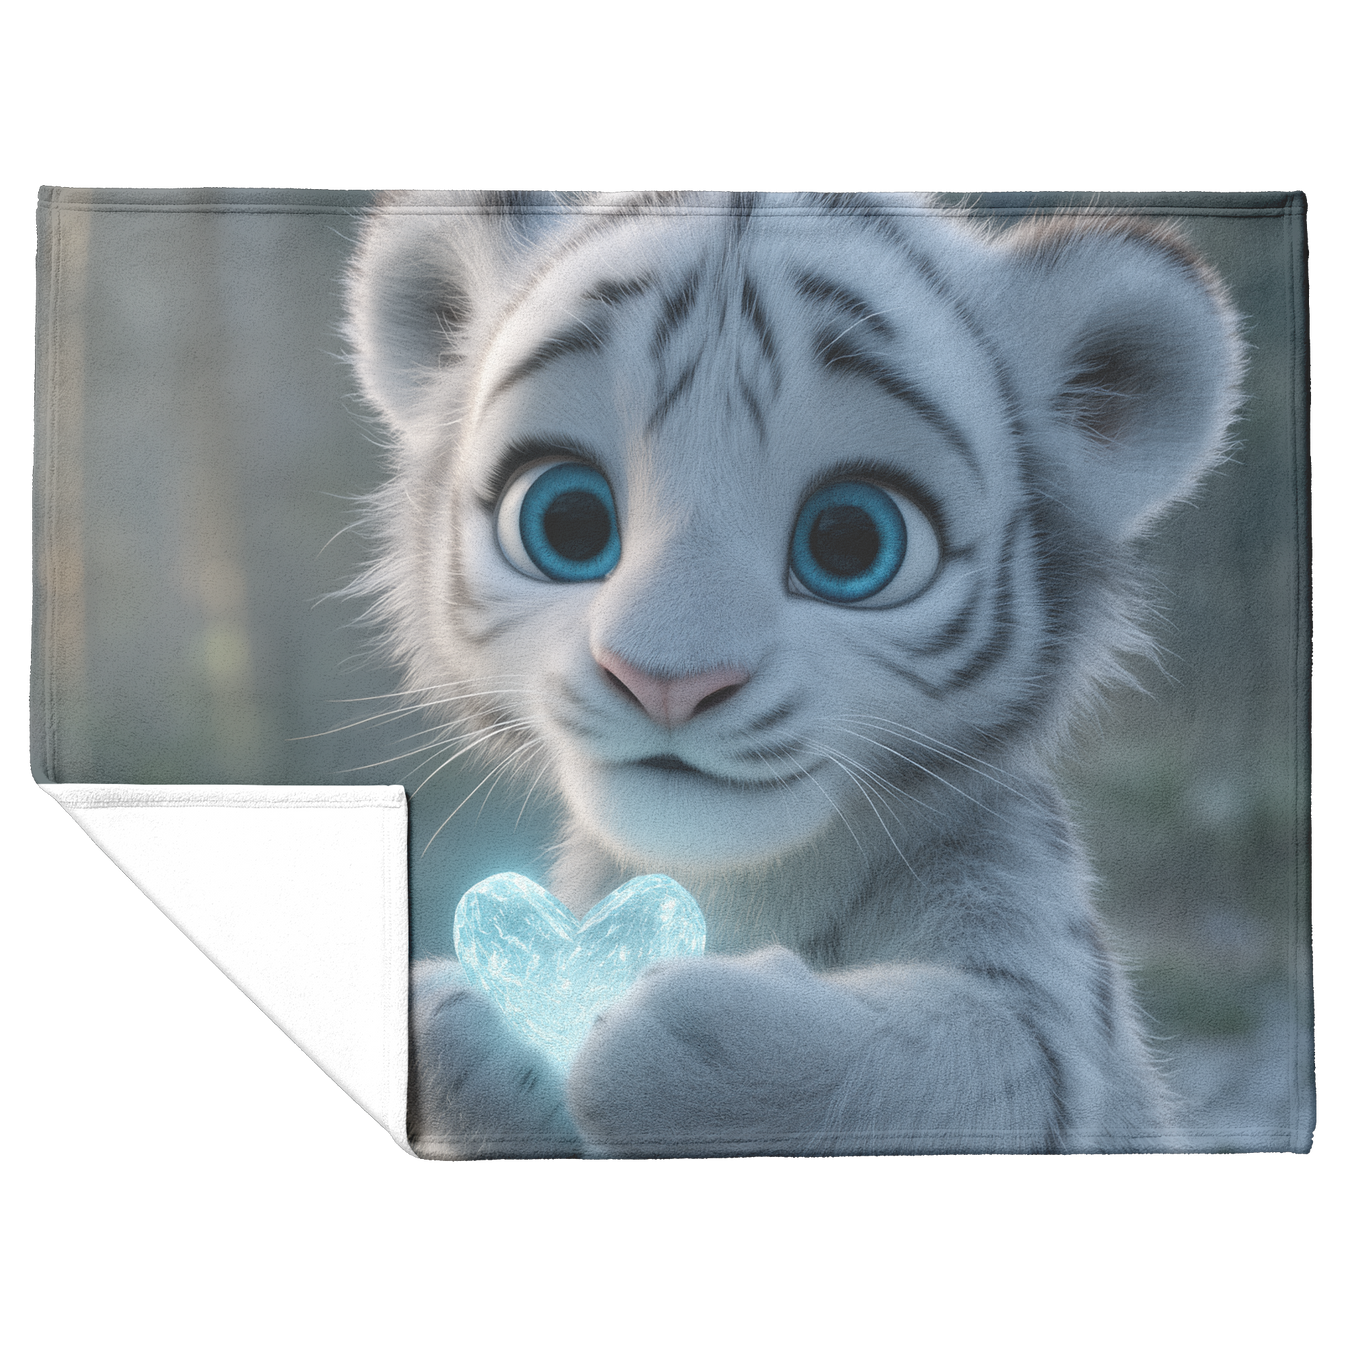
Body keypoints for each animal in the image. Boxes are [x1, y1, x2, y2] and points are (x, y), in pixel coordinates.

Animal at [343, 190, 1243, 1157]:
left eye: (850, 541)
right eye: (568, 521)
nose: (667, 680)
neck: (734, 886)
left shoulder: (1043, 990)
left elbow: (965, 1056)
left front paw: (660, 1031)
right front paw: (457, 1025)